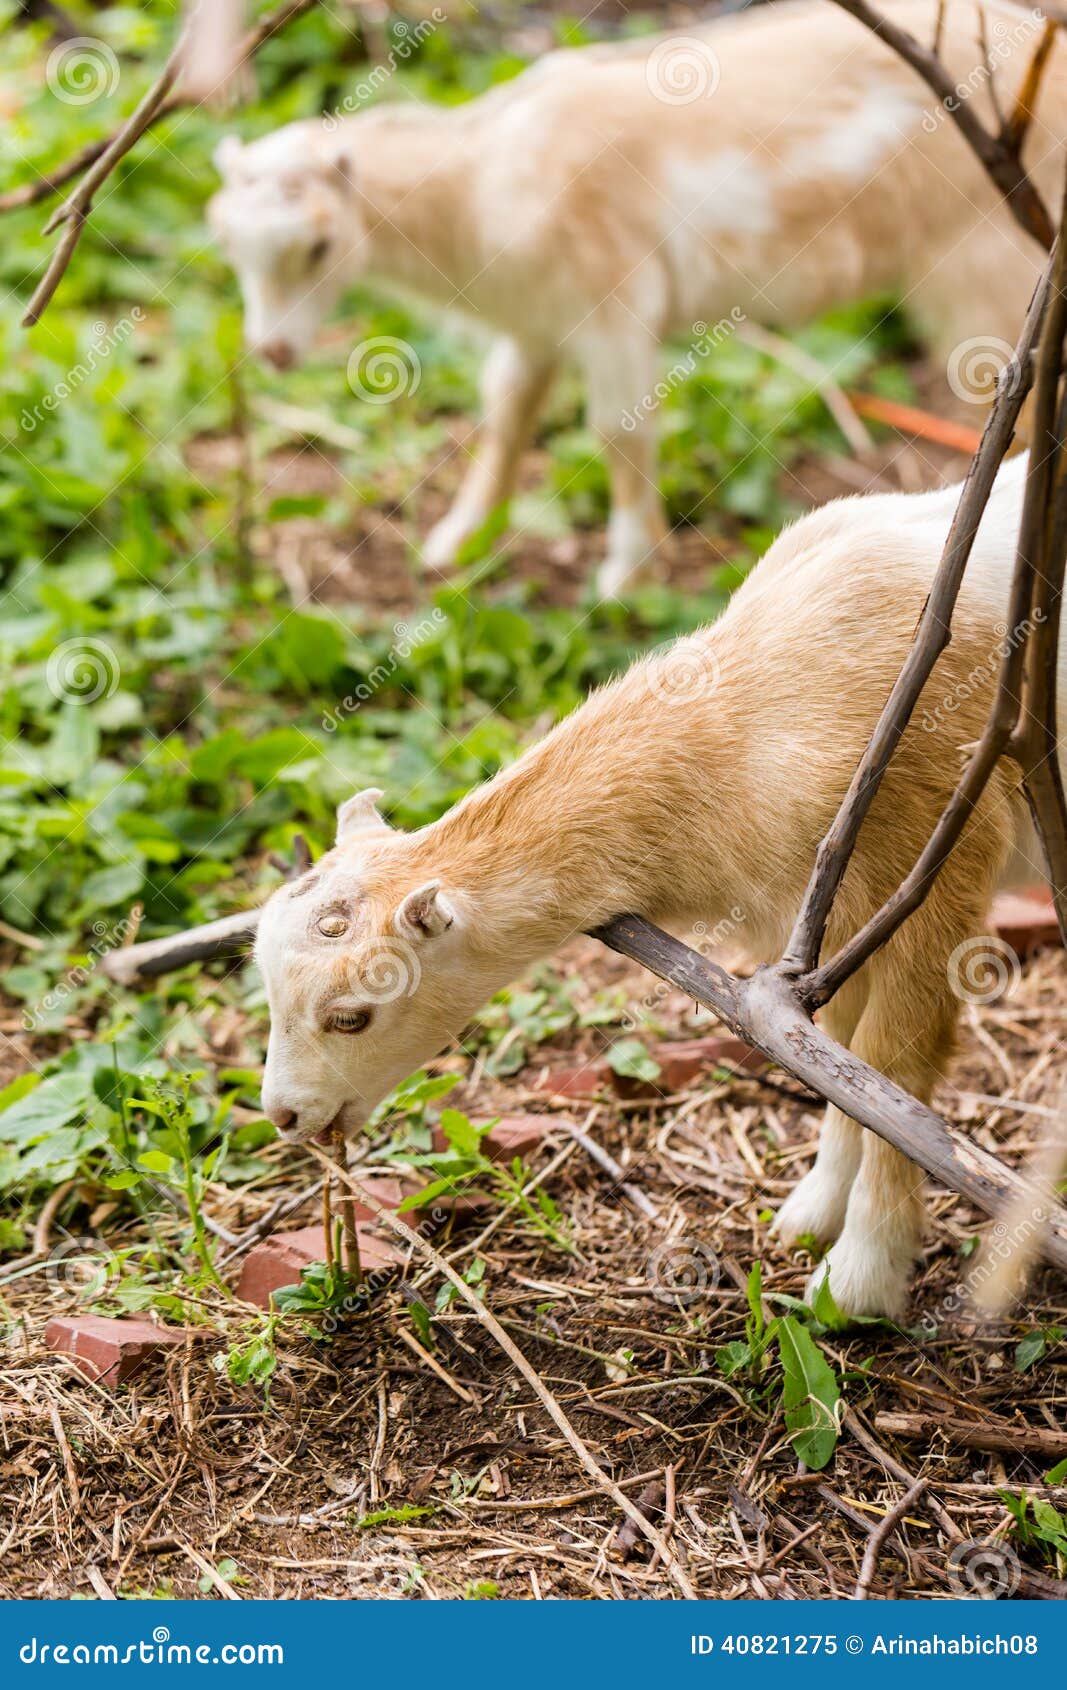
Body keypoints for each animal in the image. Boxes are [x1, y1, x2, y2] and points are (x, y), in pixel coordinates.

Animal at [254, 452, 1059, 1319]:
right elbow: (846, 1060)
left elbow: (895, 1066)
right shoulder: (824, 916)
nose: (284, 1114)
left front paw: (858, 1283)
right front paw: (811, 1216)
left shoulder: (936, 865)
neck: (745, 729)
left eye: (351, 1017)